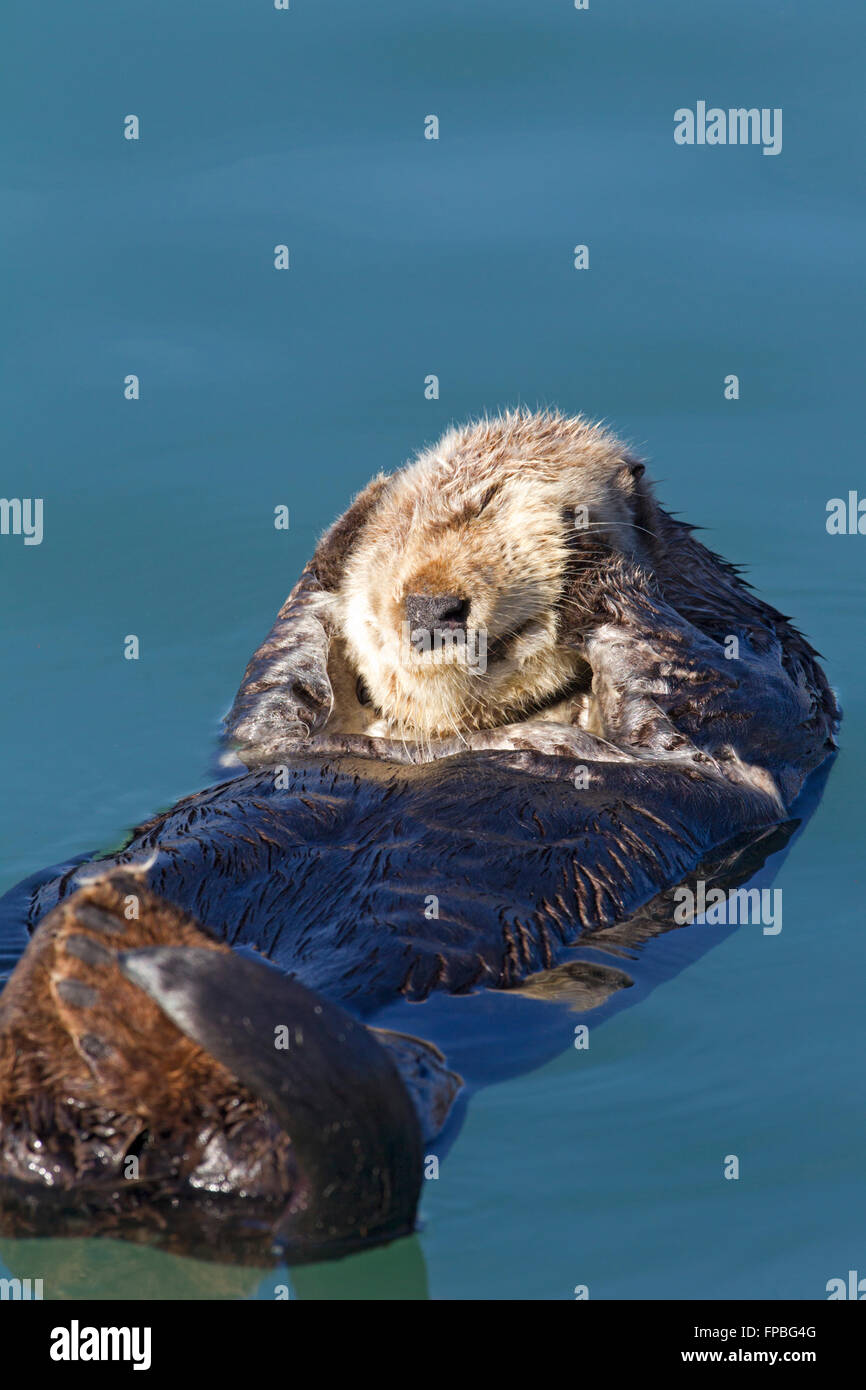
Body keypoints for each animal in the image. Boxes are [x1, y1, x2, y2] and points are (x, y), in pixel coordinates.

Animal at [0, 410, 839, 1264]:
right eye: (402, 542)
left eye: (496, 510)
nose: (433, 606)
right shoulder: (273, 733)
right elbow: (276, 679)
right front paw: (351, 523)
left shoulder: (762, 668)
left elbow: (708, 682)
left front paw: (594, 545)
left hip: (404, 1065)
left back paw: (100, 965)